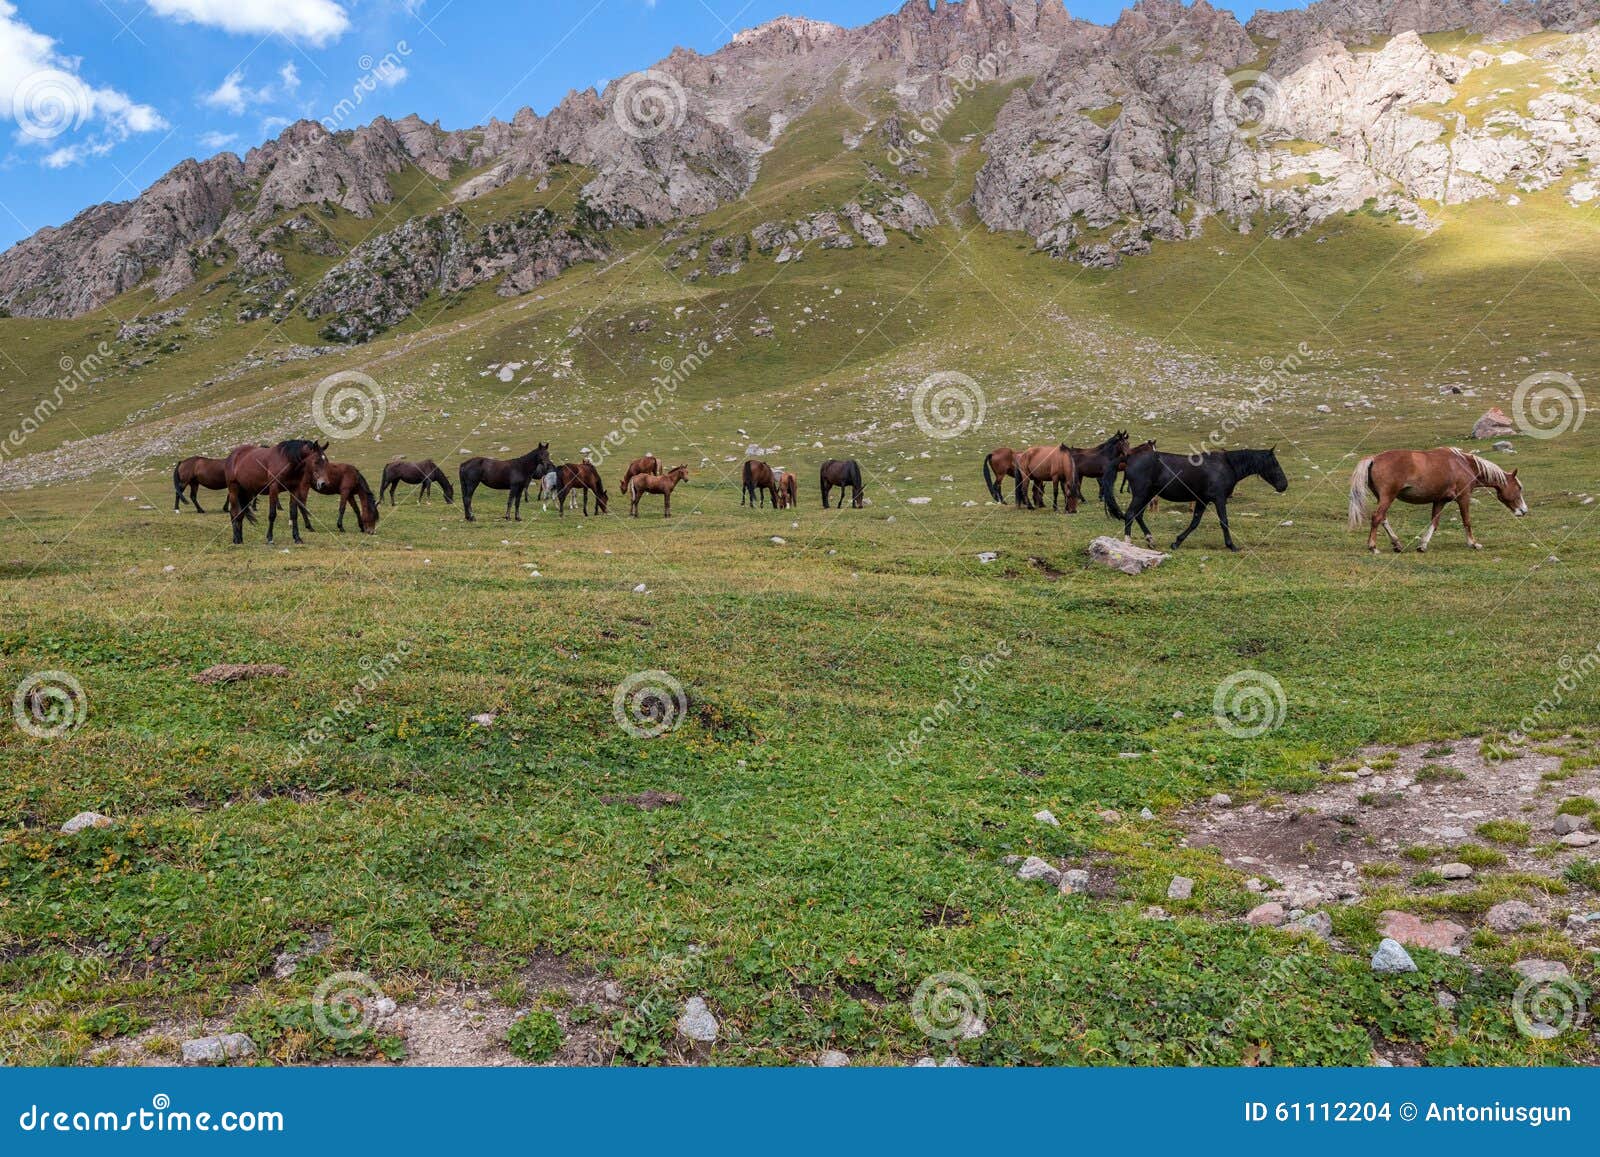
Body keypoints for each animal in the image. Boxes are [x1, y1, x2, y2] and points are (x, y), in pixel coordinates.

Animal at [1122, 448, 1289, 551]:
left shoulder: (1202, 500)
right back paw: (1128, 542)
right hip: (1141, 495)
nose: (1284, 485)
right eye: (1275, 464)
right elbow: (1224, 521)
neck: (1227, 466)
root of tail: (1129, 460)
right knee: (1130, 514)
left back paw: (1150, 540)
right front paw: (1231, 546)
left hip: (1148, 495)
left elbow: (1195, 522)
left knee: (1138, 515)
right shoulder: (1219, 499)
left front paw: (1177, 542)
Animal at [1348, 447, 1526, 553]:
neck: (1463, 464)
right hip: (1387, 496)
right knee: (1377, 517)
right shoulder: (1463, 497)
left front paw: (1422, 545)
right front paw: (1473, 543)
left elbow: (1434, 522)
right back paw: (1373, 547)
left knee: (1383, 518)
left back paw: (1397, 544)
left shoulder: (1440, 500)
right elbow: (1466, 521)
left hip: (1382, 497)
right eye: (1519, 487)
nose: (1524, 510)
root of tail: (1374, 458)